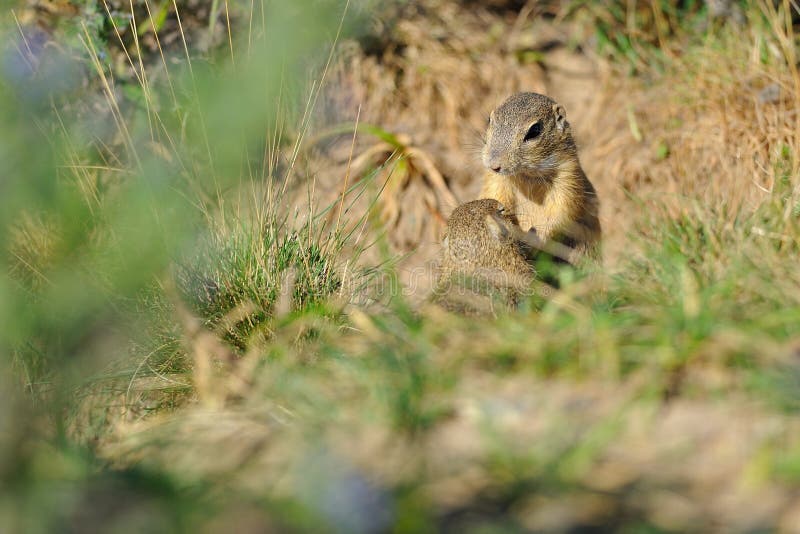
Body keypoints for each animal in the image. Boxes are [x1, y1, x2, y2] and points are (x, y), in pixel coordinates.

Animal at [479, 92, 601, 263]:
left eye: (534, 130)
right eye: (489, 120)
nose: (494, 165)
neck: (527, 175)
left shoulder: (568, 180)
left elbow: (559, 215)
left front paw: (533, 242)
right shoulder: (495, 182)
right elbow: (495, 198)